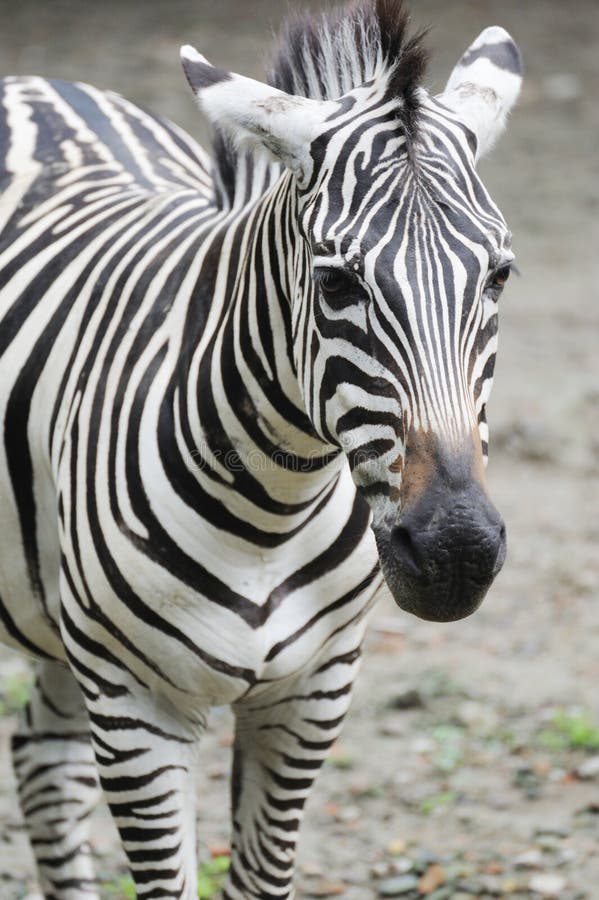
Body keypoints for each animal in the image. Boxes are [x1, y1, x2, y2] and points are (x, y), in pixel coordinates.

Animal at [0, 0, 522, 896]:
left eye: (497, 276)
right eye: (336, 283)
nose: (455, 551)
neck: (272, 506)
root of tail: (33, 81)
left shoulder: (310, 693)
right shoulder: (136, 709)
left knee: (42, 751)